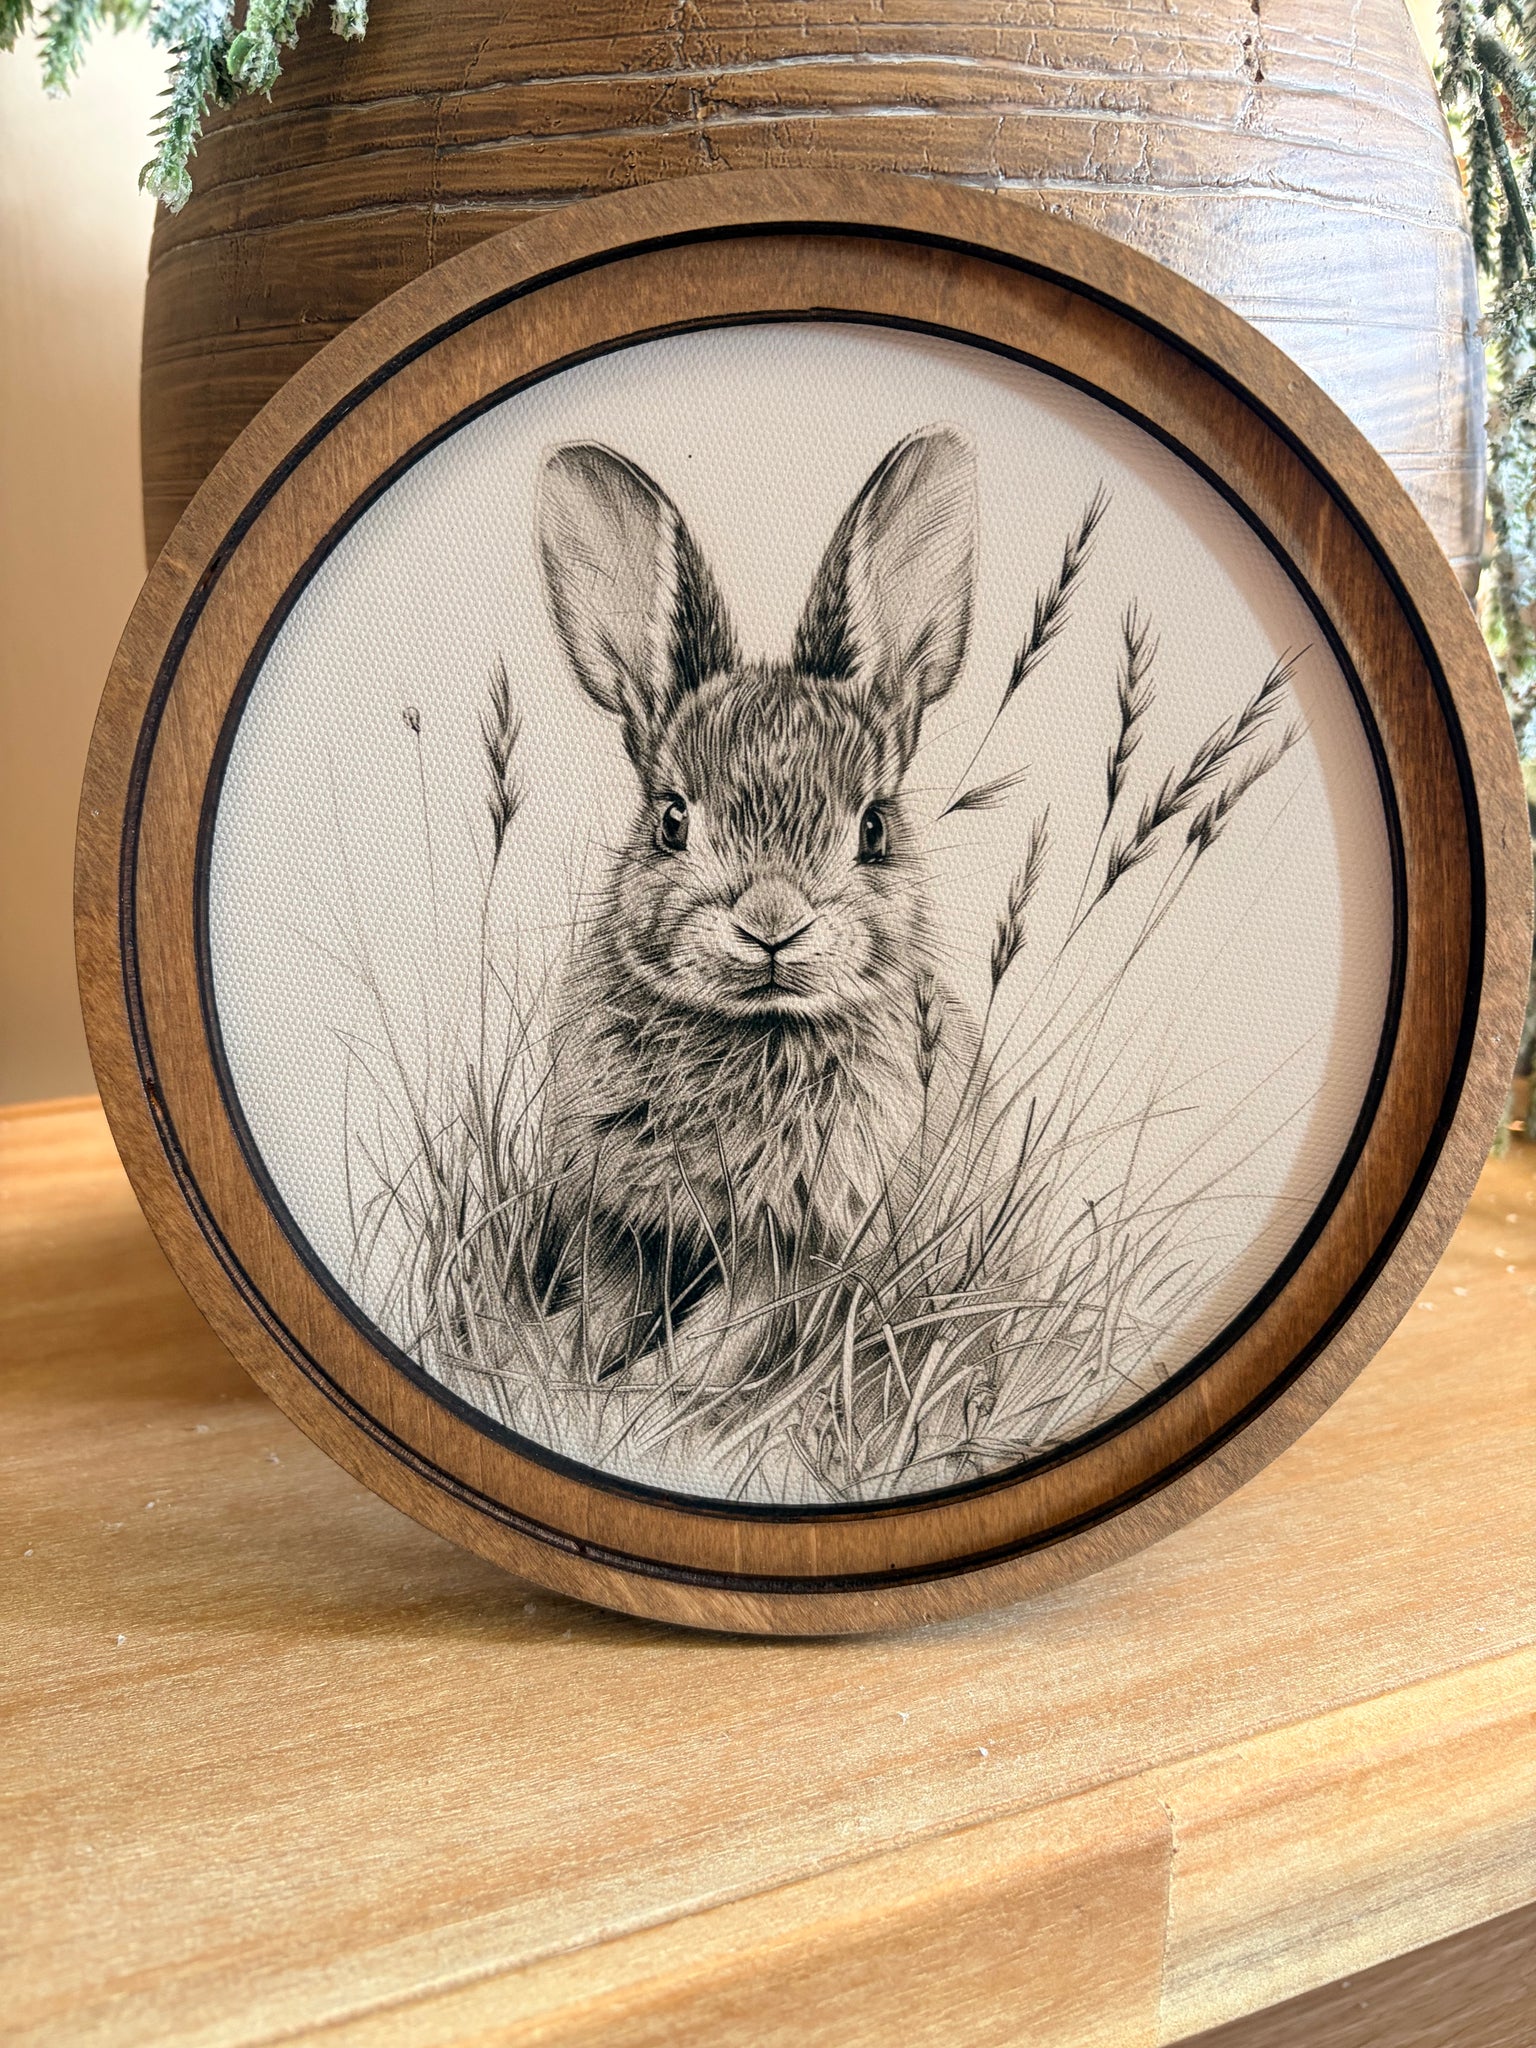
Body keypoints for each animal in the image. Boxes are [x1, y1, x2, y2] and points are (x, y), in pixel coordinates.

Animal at [532, 424, 986, 1380]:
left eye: (873, 829)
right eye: (671, 821)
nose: (771, 925)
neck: (752, 1029)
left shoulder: (796, 1254)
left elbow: (716, 1350)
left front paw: (639, 1400)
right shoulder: (614, 1220)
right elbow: (607, 1310)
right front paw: (555, 1368)